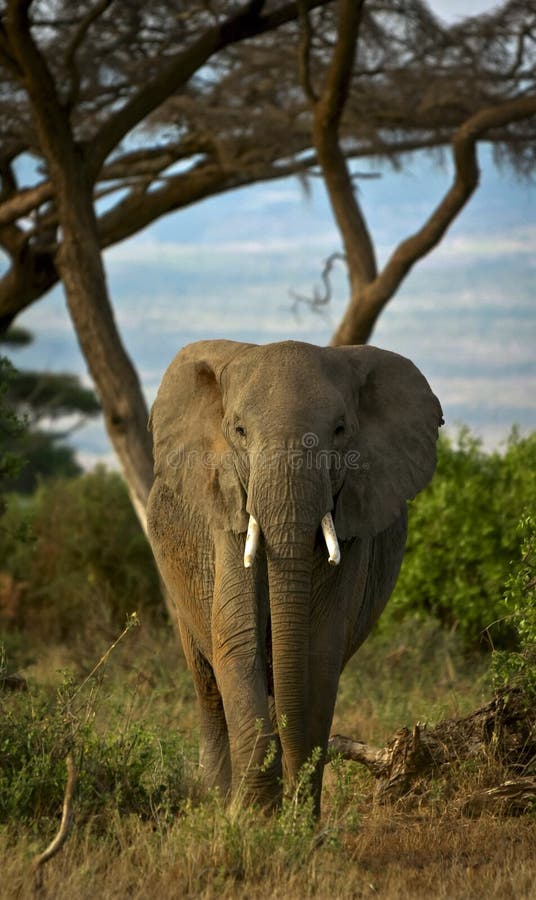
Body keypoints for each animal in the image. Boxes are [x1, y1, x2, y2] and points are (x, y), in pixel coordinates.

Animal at [147, 339, 442, 813]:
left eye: (340, 430)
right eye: (239, 430)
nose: (293, 800)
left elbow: (319, 650)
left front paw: (299, 820)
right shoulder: (226, 508)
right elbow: (237, 637)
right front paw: (253, 819)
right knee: (208, 688)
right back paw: (216, 802)